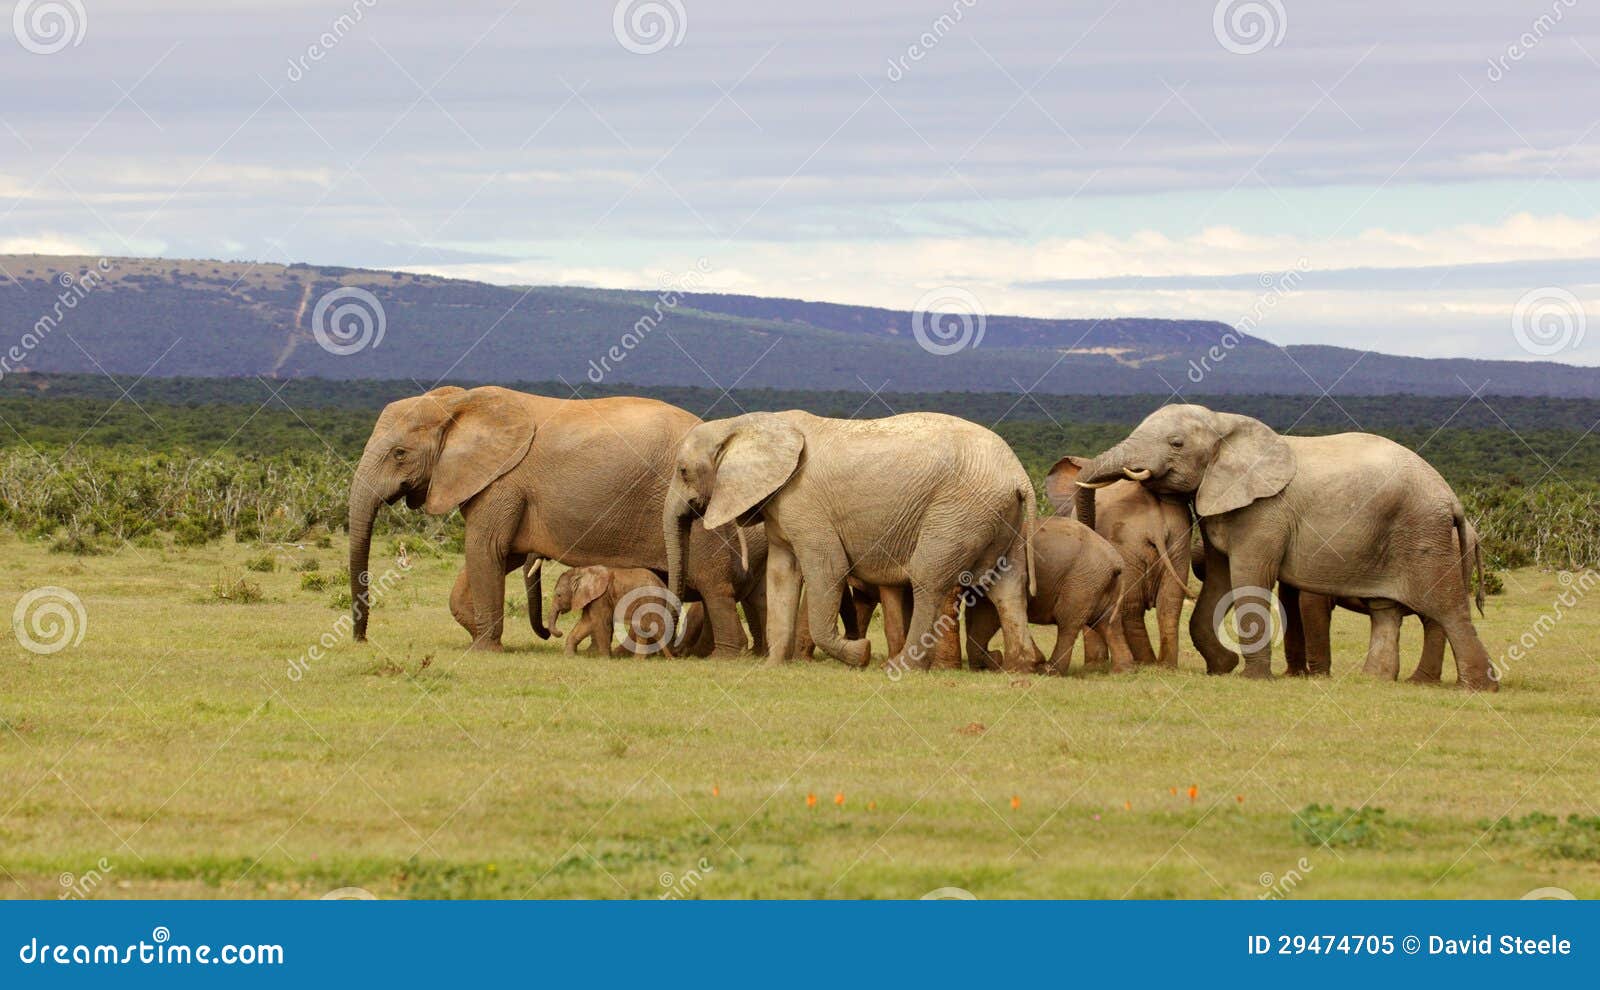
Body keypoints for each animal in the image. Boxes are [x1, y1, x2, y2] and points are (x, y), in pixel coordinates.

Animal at [348, 386, 766, 654]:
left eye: (399, 454)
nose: (361, 640)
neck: (459, 401)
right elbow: (501, 556)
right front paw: (479, 635)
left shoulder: (502, 481)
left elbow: (485, 549)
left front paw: (483, 650)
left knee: (714, 587)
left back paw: (724, 657)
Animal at [664, 410, 1036, 672]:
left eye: (682, 471)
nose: (672, 653)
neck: (742, 424)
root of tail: (1020, 476)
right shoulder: (780, 507)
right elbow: (782, 574)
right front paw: (770, 667)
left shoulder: (806, 504)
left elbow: (827, 569)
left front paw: (860, 654)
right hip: (998, 516)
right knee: (1007, 585)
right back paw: (1021, 666)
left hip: (959, 510)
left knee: (929, 579)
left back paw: (900, 667)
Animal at [965, 516, 1133, 674]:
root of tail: (1117, 561)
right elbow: (983, 613)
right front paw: (989, 661)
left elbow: (989, 616)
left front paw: (994, 661)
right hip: (1100, 582)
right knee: (1107, 622)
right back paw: (1122, 671)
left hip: (1083, 579)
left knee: (1067, 619)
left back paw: (1049, 671)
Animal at [1046, 455, 1192, 668]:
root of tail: (1156, 524)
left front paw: (1094, 665)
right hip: (1178, 543)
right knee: (1169, 603)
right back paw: (1164, 666)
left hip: (1127, 545)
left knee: (1131, 607)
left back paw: (1144, 663)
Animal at [1076, 404, 1496, 690]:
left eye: (1176, 443)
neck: (1226, 423)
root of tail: (1451, 497)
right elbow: (1220, 582)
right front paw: (1223, 667)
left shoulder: (1264, 512)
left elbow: (1249, 579)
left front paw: (1253, 679)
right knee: (1387, 611)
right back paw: (1376, 681)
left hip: (1423, 532)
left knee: (1444, 609)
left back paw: (1473, 687)